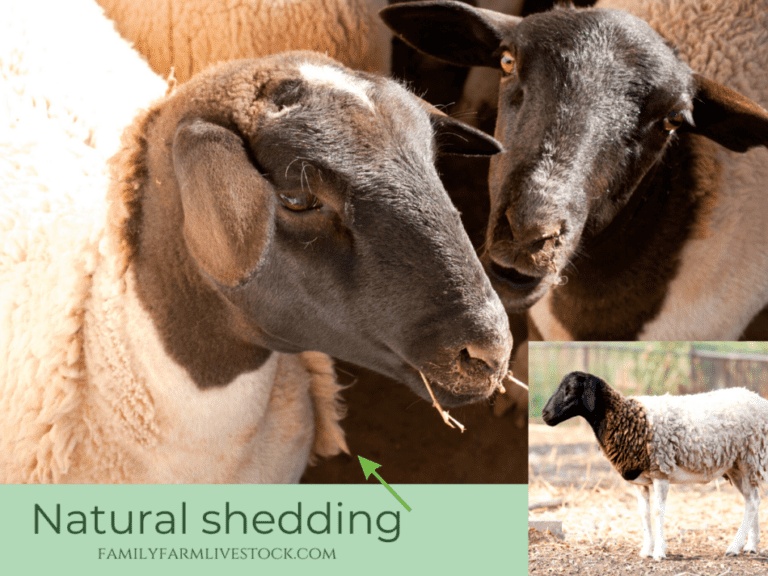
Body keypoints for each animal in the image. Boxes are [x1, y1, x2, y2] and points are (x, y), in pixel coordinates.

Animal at [542, 371, 768, 560]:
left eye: (571, 389)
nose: (545, 414)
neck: (625, 418)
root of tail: (759, 399)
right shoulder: (641, 481)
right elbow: (644, 513)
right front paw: (646, 551)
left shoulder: (661, 471)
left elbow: (658, 511)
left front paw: (659, 553)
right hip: (737, 466)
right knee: (753, 499)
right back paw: (750, 546)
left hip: (751, 458)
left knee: (752, 502)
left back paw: (734, 548)